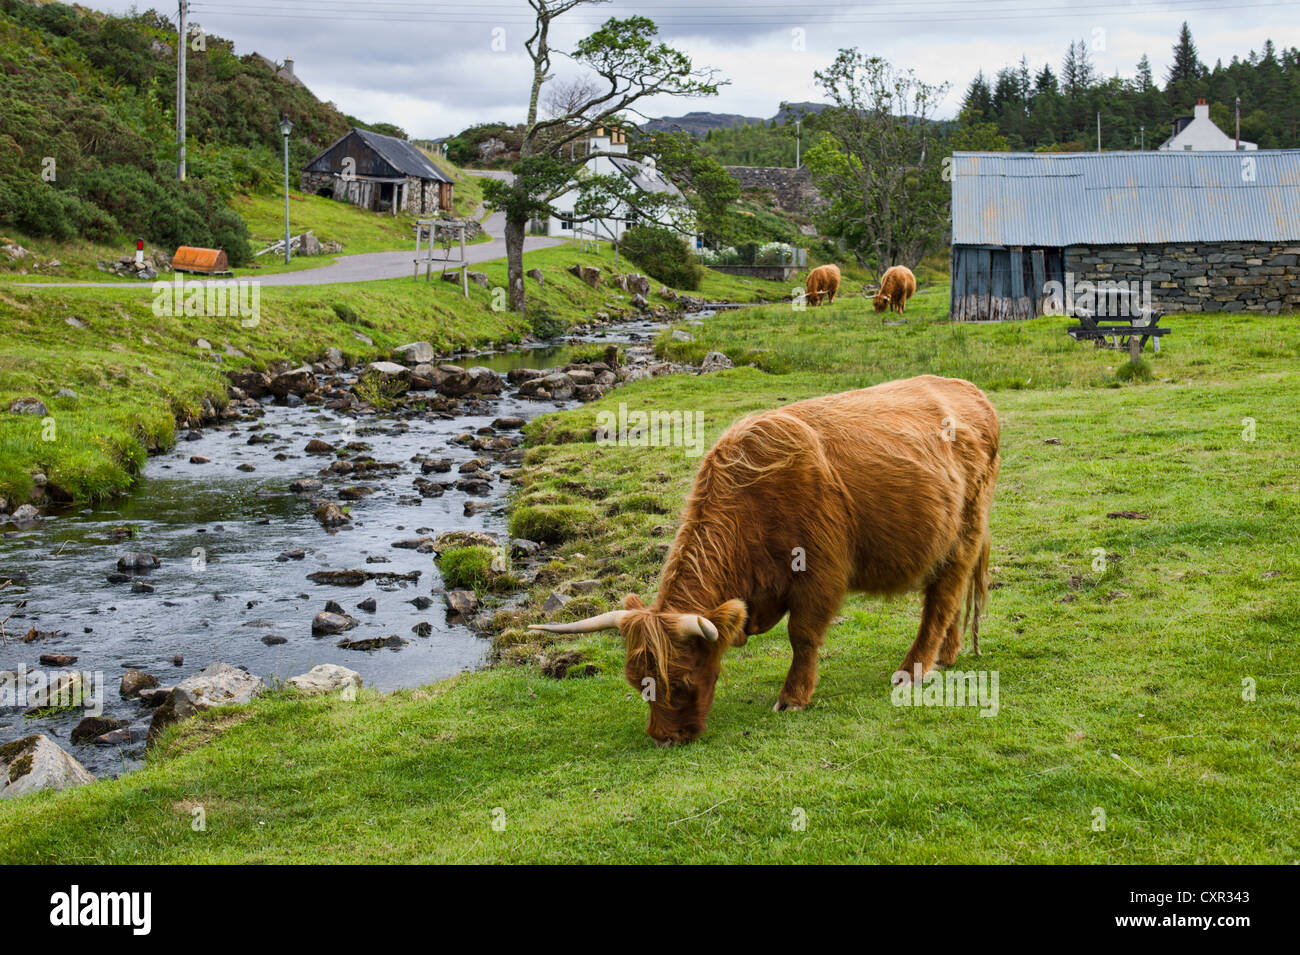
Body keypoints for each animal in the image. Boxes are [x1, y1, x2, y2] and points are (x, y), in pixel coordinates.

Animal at [530, 375, 1001, 746]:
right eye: (636, 683)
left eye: (682, 680)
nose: (664, 738)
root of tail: (970, 391)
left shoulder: (820, 573)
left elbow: (803, 636)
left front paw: (793, 699)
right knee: (949, 597)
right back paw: (947, 656)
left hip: (963, 533)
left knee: (941, 599)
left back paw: (914, 669)